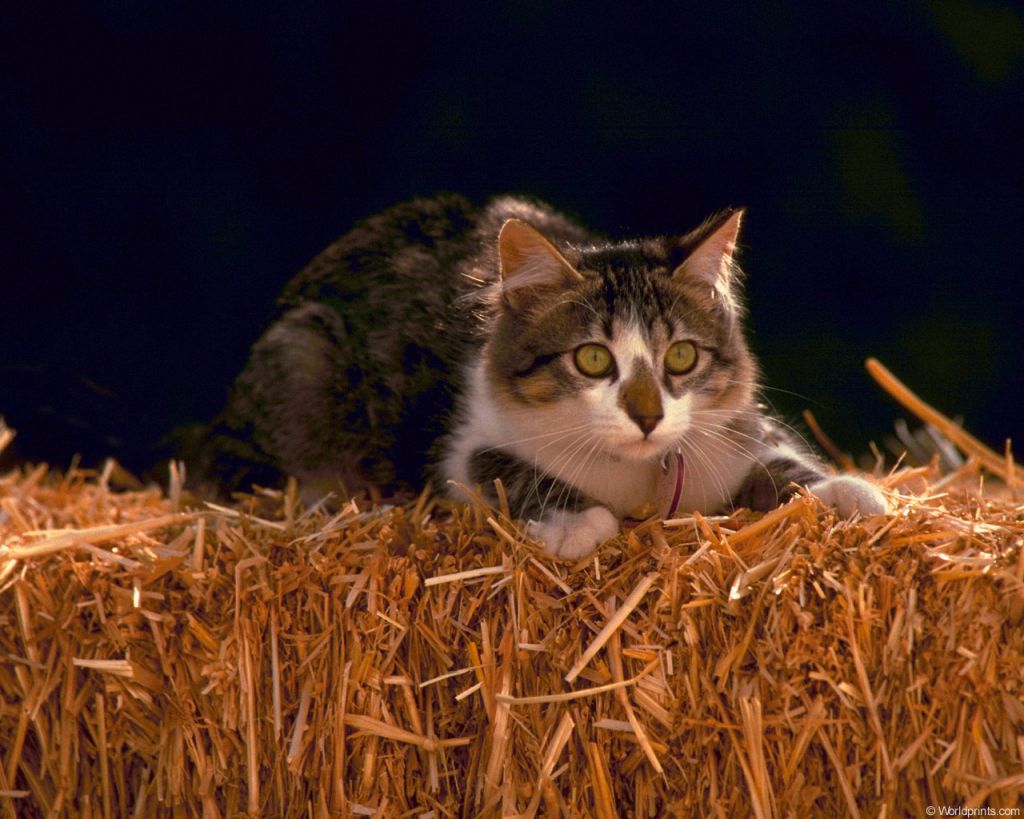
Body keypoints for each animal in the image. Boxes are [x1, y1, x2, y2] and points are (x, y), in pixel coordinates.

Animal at [199, 193, 888, 556]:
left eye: (681, 357)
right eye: (593, 359)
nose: (648, 416)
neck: (639, 474)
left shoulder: (737, 430)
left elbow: (783, 462)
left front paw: (850, 490)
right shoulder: (462, 448)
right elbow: (518, 473)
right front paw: (582, 524)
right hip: (302, 355)